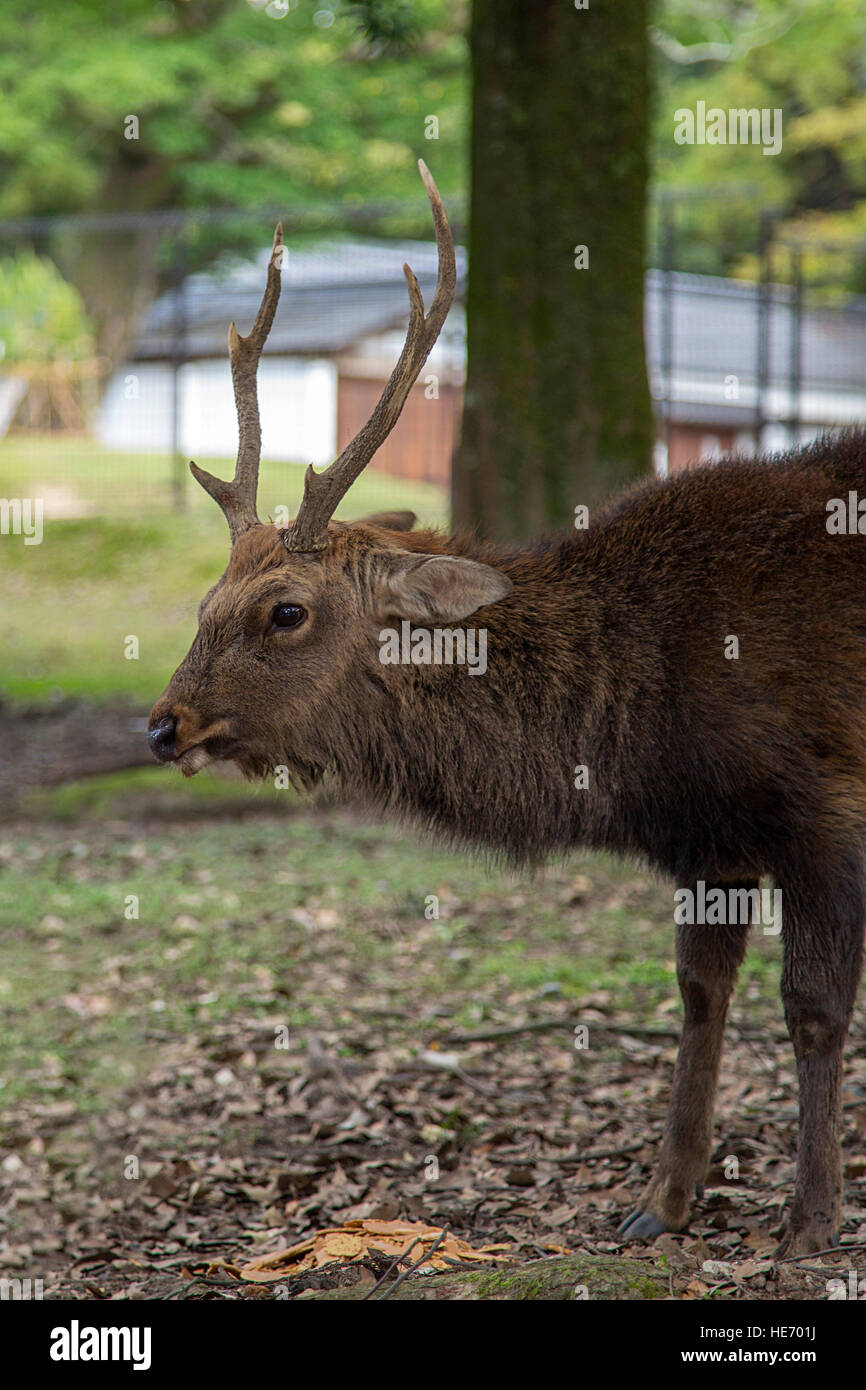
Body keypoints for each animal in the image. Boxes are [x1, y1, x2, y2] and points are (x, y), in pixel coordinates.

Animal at [149, 160, 865, 1259]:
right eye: (203, 603)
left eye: (286, 611)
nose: (163, 724)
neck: (641, 731)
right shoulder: (711, 838)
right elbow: (700, 995)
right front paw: (660, 1203)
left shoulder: (825, 802)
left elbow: (814, 1011)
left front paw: (810, 1223)